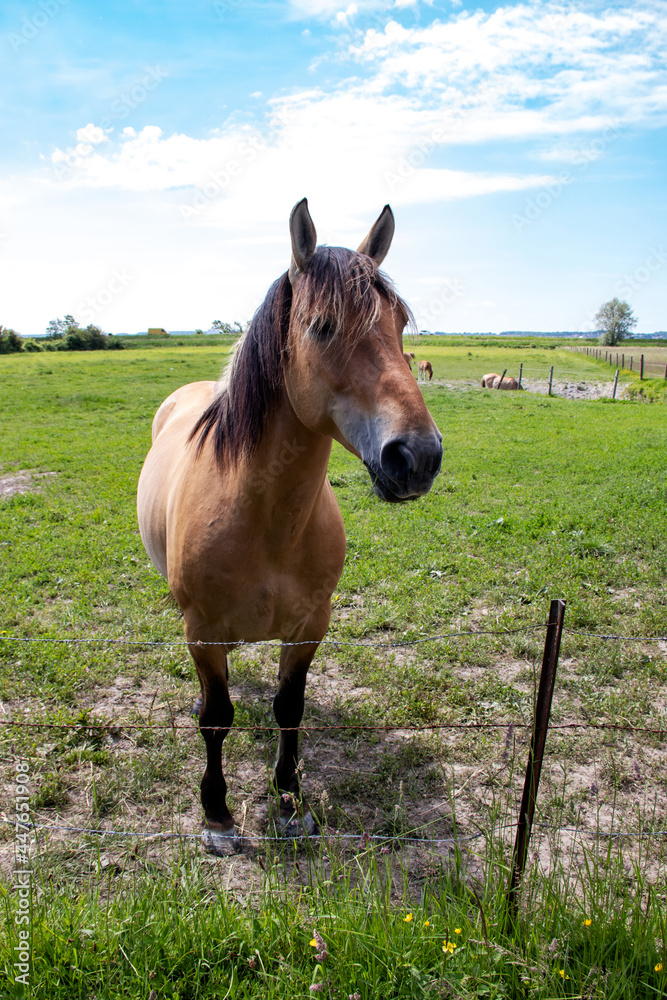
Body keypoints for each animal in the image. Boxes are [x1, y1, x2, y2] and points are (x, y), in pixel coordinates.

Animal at [137, 199, 443, 853]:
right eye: (322, 326)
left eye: (401, 324)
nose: (418, 456)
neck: (267, 524)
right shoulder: (203, 632)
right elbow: (216, 719)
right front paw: (218, 816)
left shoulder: (308, 630)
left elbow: (289, 711)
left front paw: (289, 804)